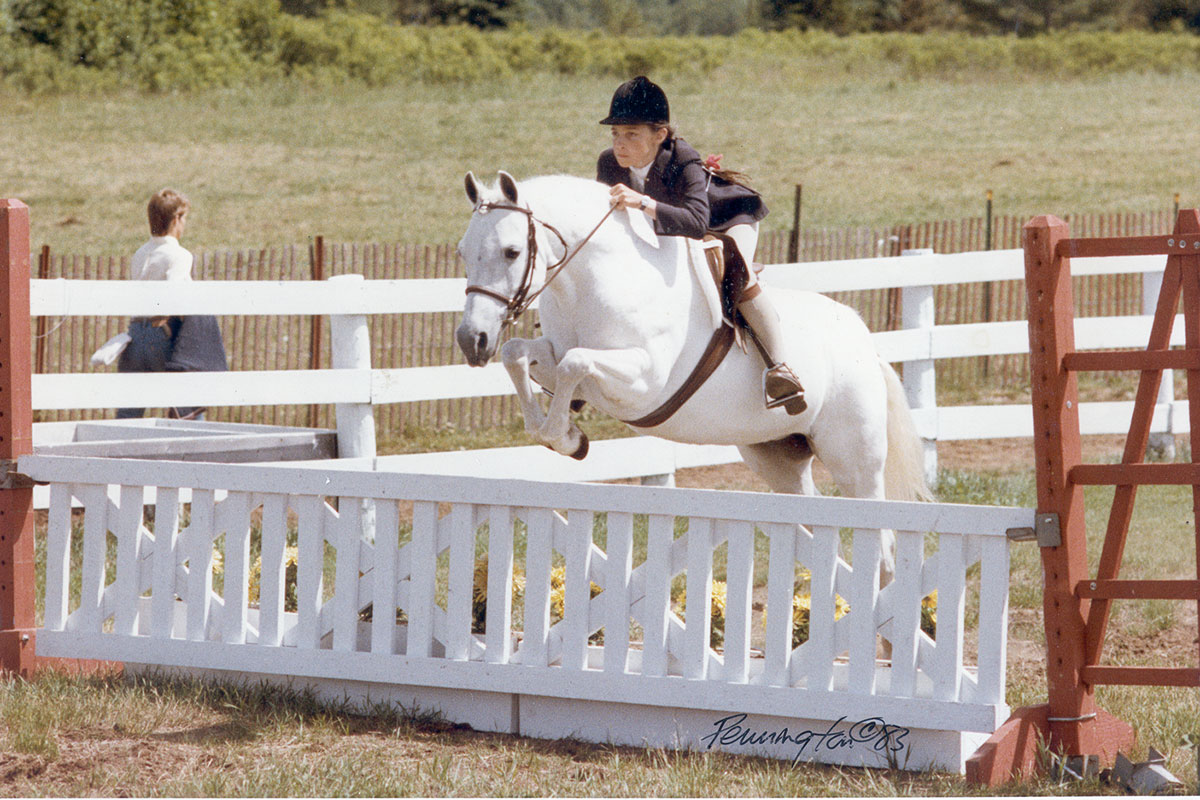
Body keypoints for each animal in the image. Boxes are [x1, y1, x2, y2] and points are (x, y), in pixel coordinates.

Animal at [455, 170, 930, 584]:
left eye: (512, 251)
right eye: (462, 251)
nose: (470, 340)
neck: (596, 280)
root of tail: (866, 343)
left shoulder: (643, 380)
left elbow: (576, 363)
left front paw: (565, 437)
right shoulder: (553, 352)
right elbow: (519, 355)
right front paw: (563, 434)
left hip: (854, 460)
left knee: (881, 543)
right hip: (776, 457)